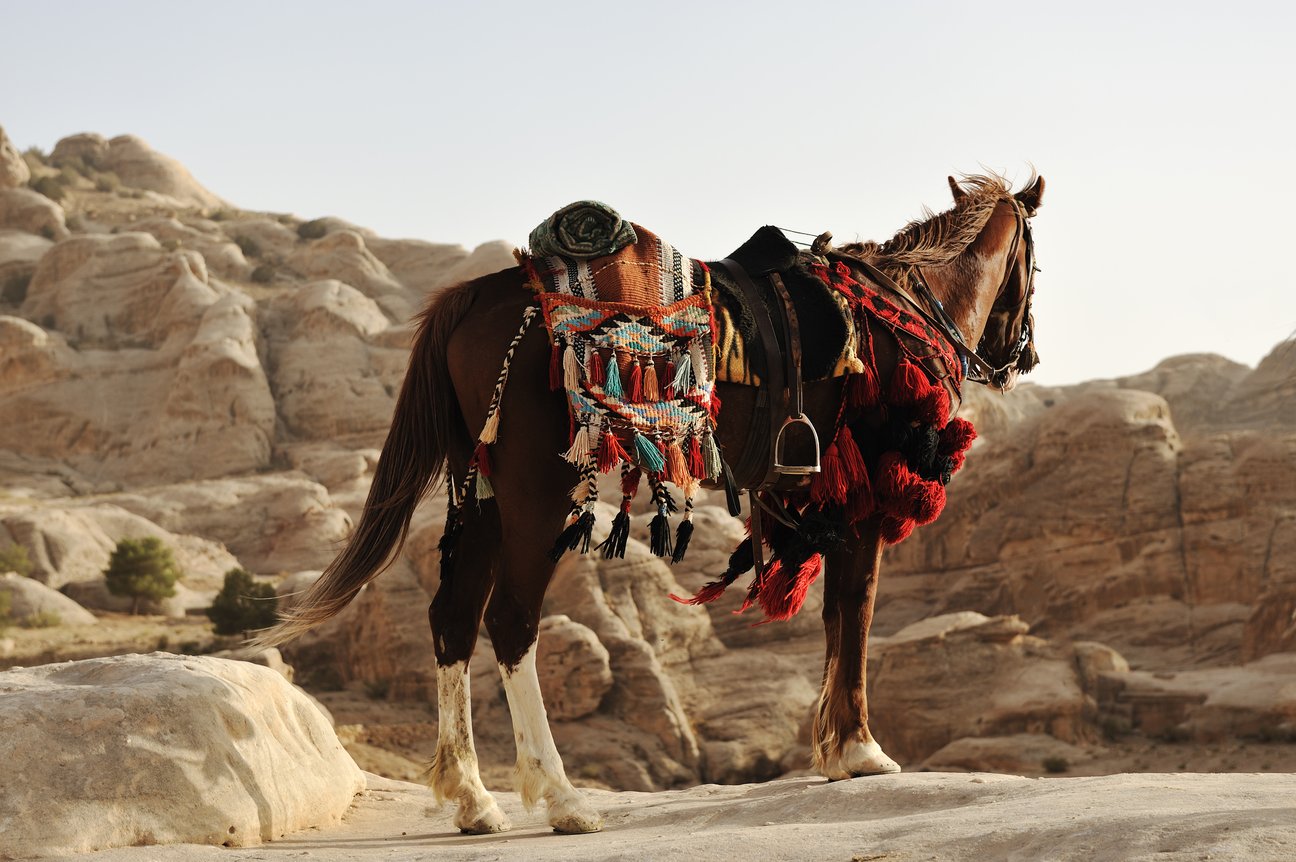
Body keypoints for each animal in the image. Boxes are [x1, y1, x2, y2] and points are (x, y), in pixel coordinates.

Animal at [258, 173, 1044, 835]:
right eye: (1034, 265)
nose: (1023, 358)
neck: (897, 312)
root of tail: (476, 296)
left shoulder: (827, 501)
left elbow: (834, 616)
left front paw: (835, 748)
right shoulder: (866, 497)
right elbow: (857, 612)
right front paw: (859, 750)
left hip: (474, 489)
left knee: (452, 617)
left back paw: (474, 799)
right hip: (536, 492)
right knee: (510, 621)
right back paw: (563, 798)